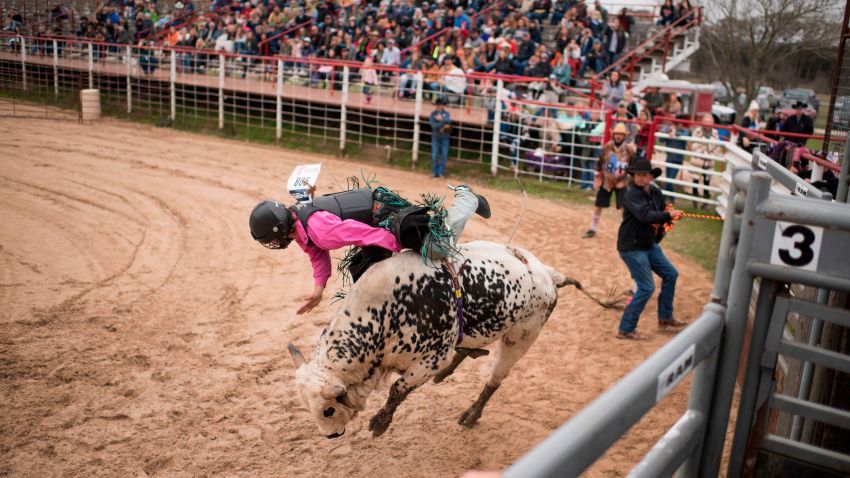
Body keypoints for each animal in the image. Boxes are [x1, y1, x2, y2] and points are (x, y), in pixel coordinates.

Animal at [287, 240, 618, 438]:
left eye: (328, 409)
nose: (331, 435)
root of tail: (549, 274)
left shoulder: (430, 359)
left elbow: (398, 389)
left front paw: (380, 423)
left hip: (522, 337)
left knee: (495, 379)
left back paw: (471, 414)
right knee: (470, 352)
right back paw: (461, 363)